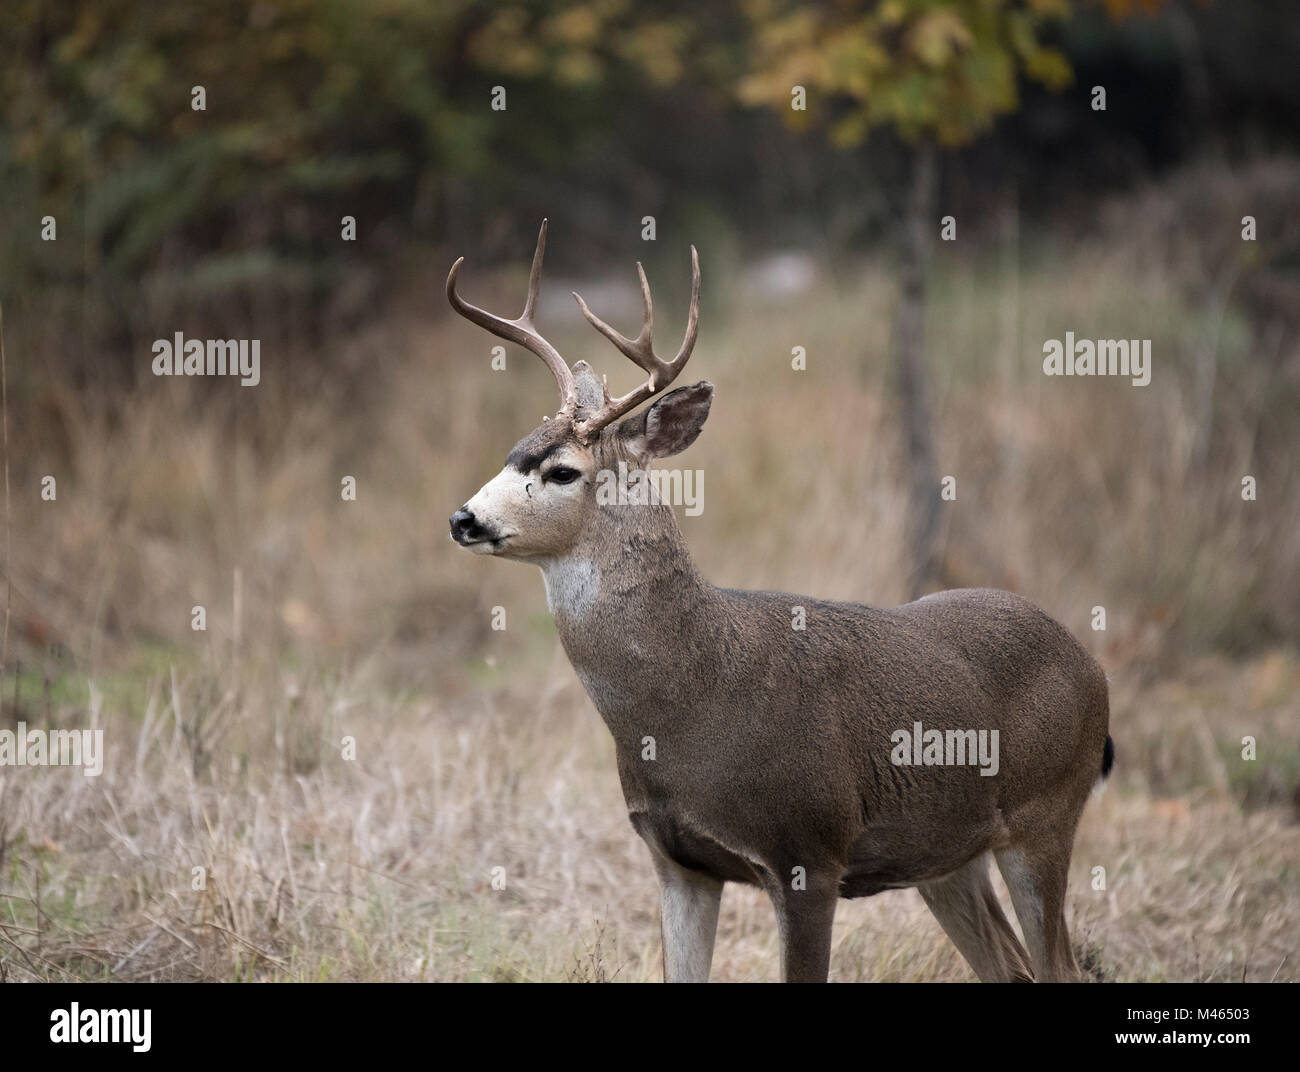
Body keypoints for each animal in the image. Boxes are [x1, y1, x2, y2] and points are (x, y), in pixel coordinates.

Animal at [447, 221, 1114, 983]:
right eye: (511, 452)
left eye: (562, 471)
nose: (463, 519)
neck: (690, 697)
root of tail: (1092, 666)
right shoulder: (677, 862)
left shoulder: (808, 851)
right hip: (946, 855)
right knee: (1009, 965)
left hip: (1044, 813)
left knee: (1059, 967)